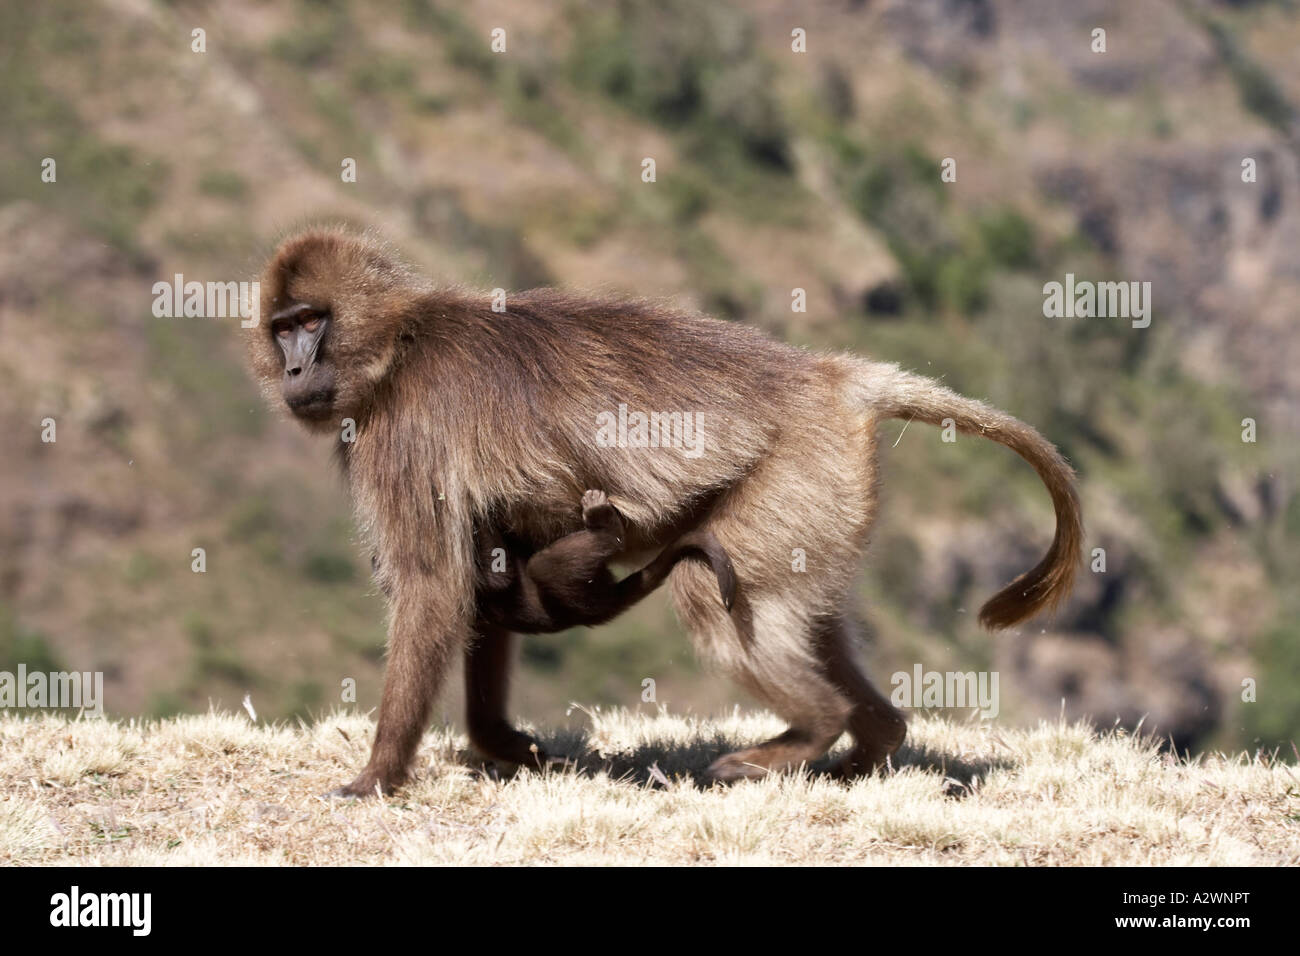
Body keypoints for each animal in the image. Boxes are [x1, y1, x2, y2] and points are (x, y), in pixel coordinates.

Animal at [246, 225, 1084, 797]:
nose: (293, 370)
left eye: (312, 322)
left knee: (709, 591)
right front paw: (504, 744)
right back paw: (868, 743)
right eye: (283, 328)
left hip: (795, 477)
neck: (398, 344)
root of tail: (832, 378)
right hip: (822, 506)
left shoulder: (401, 440)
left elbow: (432, 586)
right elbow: (483, 577)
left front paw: (377, 778)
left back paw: (808, 731)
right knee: (810, 624)